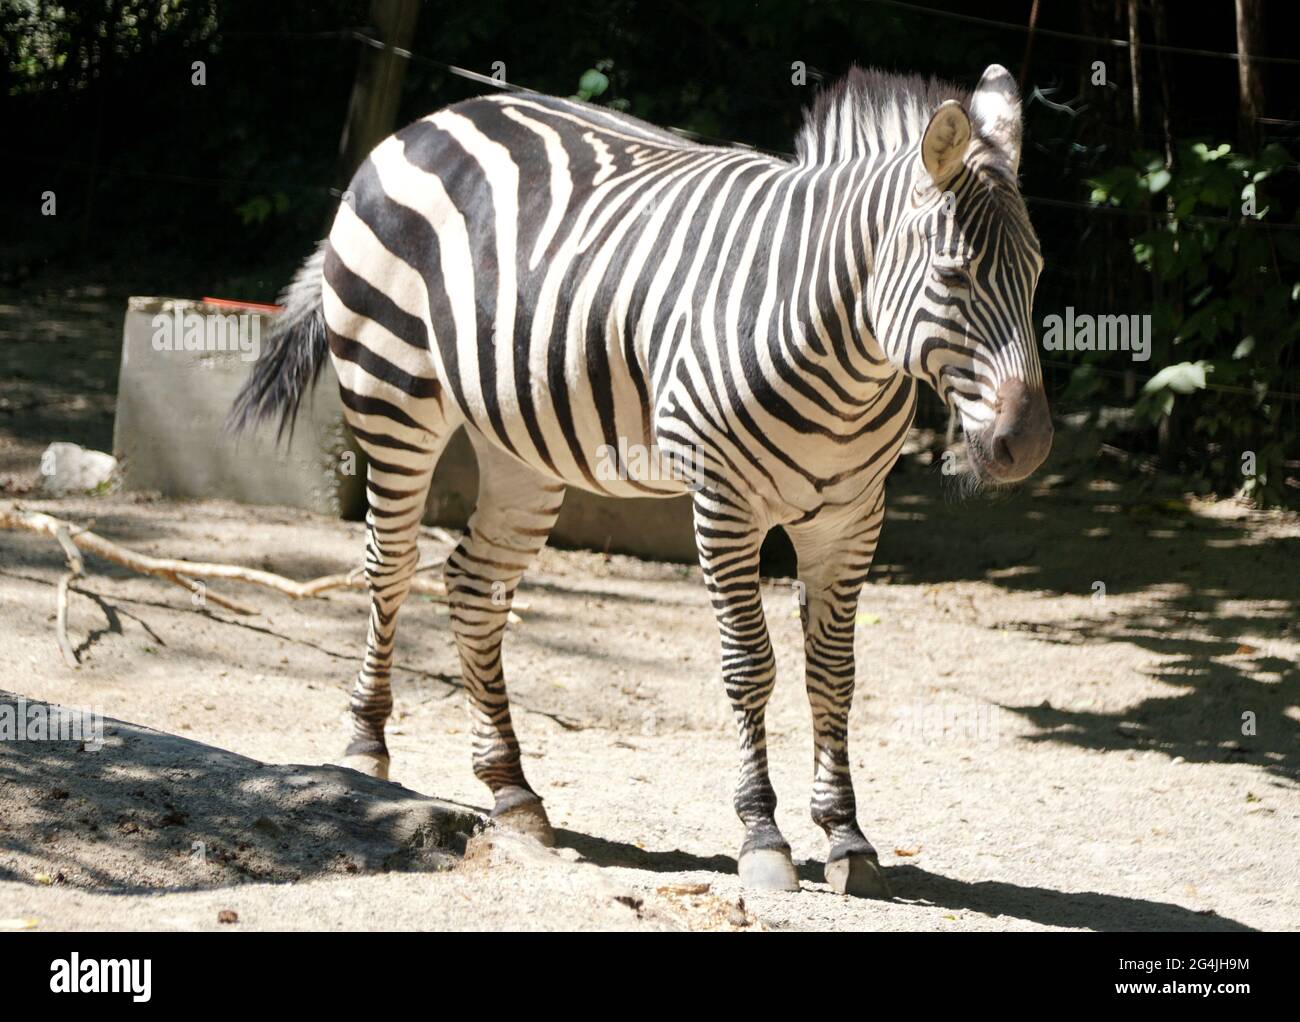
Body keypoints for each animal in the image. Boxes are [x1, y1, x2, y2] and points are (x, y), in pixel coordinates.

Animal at [232, 63, 1052, 898]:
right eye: (953, 276)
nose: (1028, 445)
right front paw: (763, 836)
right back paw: (366, 745)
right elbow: (750, 667)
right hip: (392, 393)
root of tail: (429, 122)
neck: (841, 353)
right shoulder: (725, 502)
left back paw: (512, 790)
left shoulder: (851, 515)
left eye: (1038, 274)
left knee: (472, 584)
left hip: (519, 450)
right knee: (390, 565)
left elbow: (834, 674)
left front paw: (847, 837)